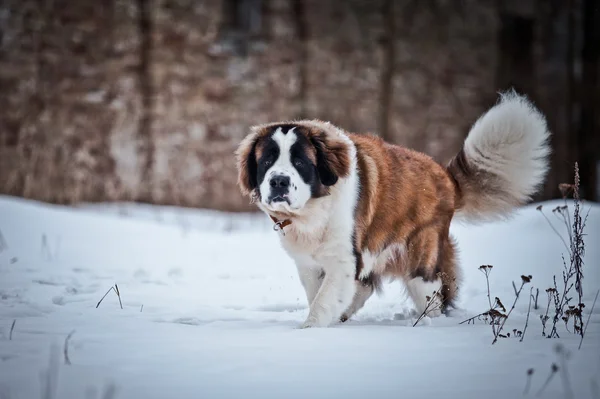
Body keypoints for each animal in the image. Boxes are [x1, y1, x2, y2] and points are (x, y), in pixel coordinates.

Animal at [233, 92, 548, 330]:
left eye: (300, 162)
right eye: (267, 161)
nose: (279, 181)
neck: (313, 210)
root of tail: (445, 177)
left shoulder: (342, 259)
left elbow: (323, 300)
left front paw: (308, 330)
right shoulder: (308, 264)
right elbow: (319, 294)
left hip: (422, 262)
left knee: (430, 297)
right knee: (365, 287)